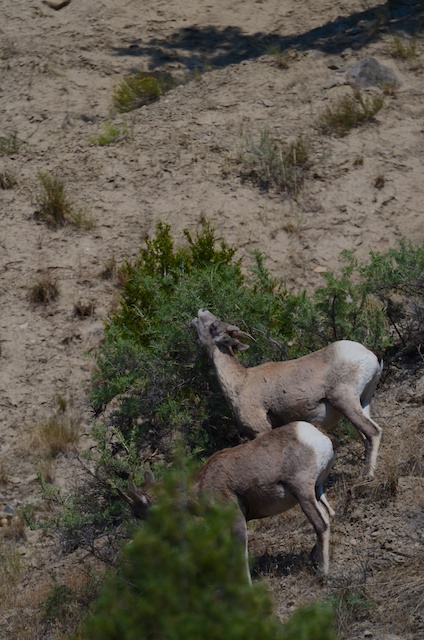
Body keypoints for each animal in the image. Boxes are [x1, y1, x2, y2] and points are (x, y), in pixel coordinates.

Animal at [119, 420, 336, 582]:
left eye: (139, 513)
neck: (200, 485)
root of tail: (319, 437)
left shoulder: (236, 518)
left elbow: (240, 553)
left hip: (302, 492)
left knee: (321, 524)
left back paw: (323, 573)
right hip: (316, 492)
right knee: (327, 516)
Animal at [192, 309, 383, 478]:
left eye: (213, 327)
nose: (201, 311)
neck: (240, 382)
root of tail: (369, 352)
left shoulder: (260, 431)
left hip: (345, 401)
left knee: (373, 431)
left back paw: (368, 476)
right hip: (363, 402)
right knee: (366, 437)